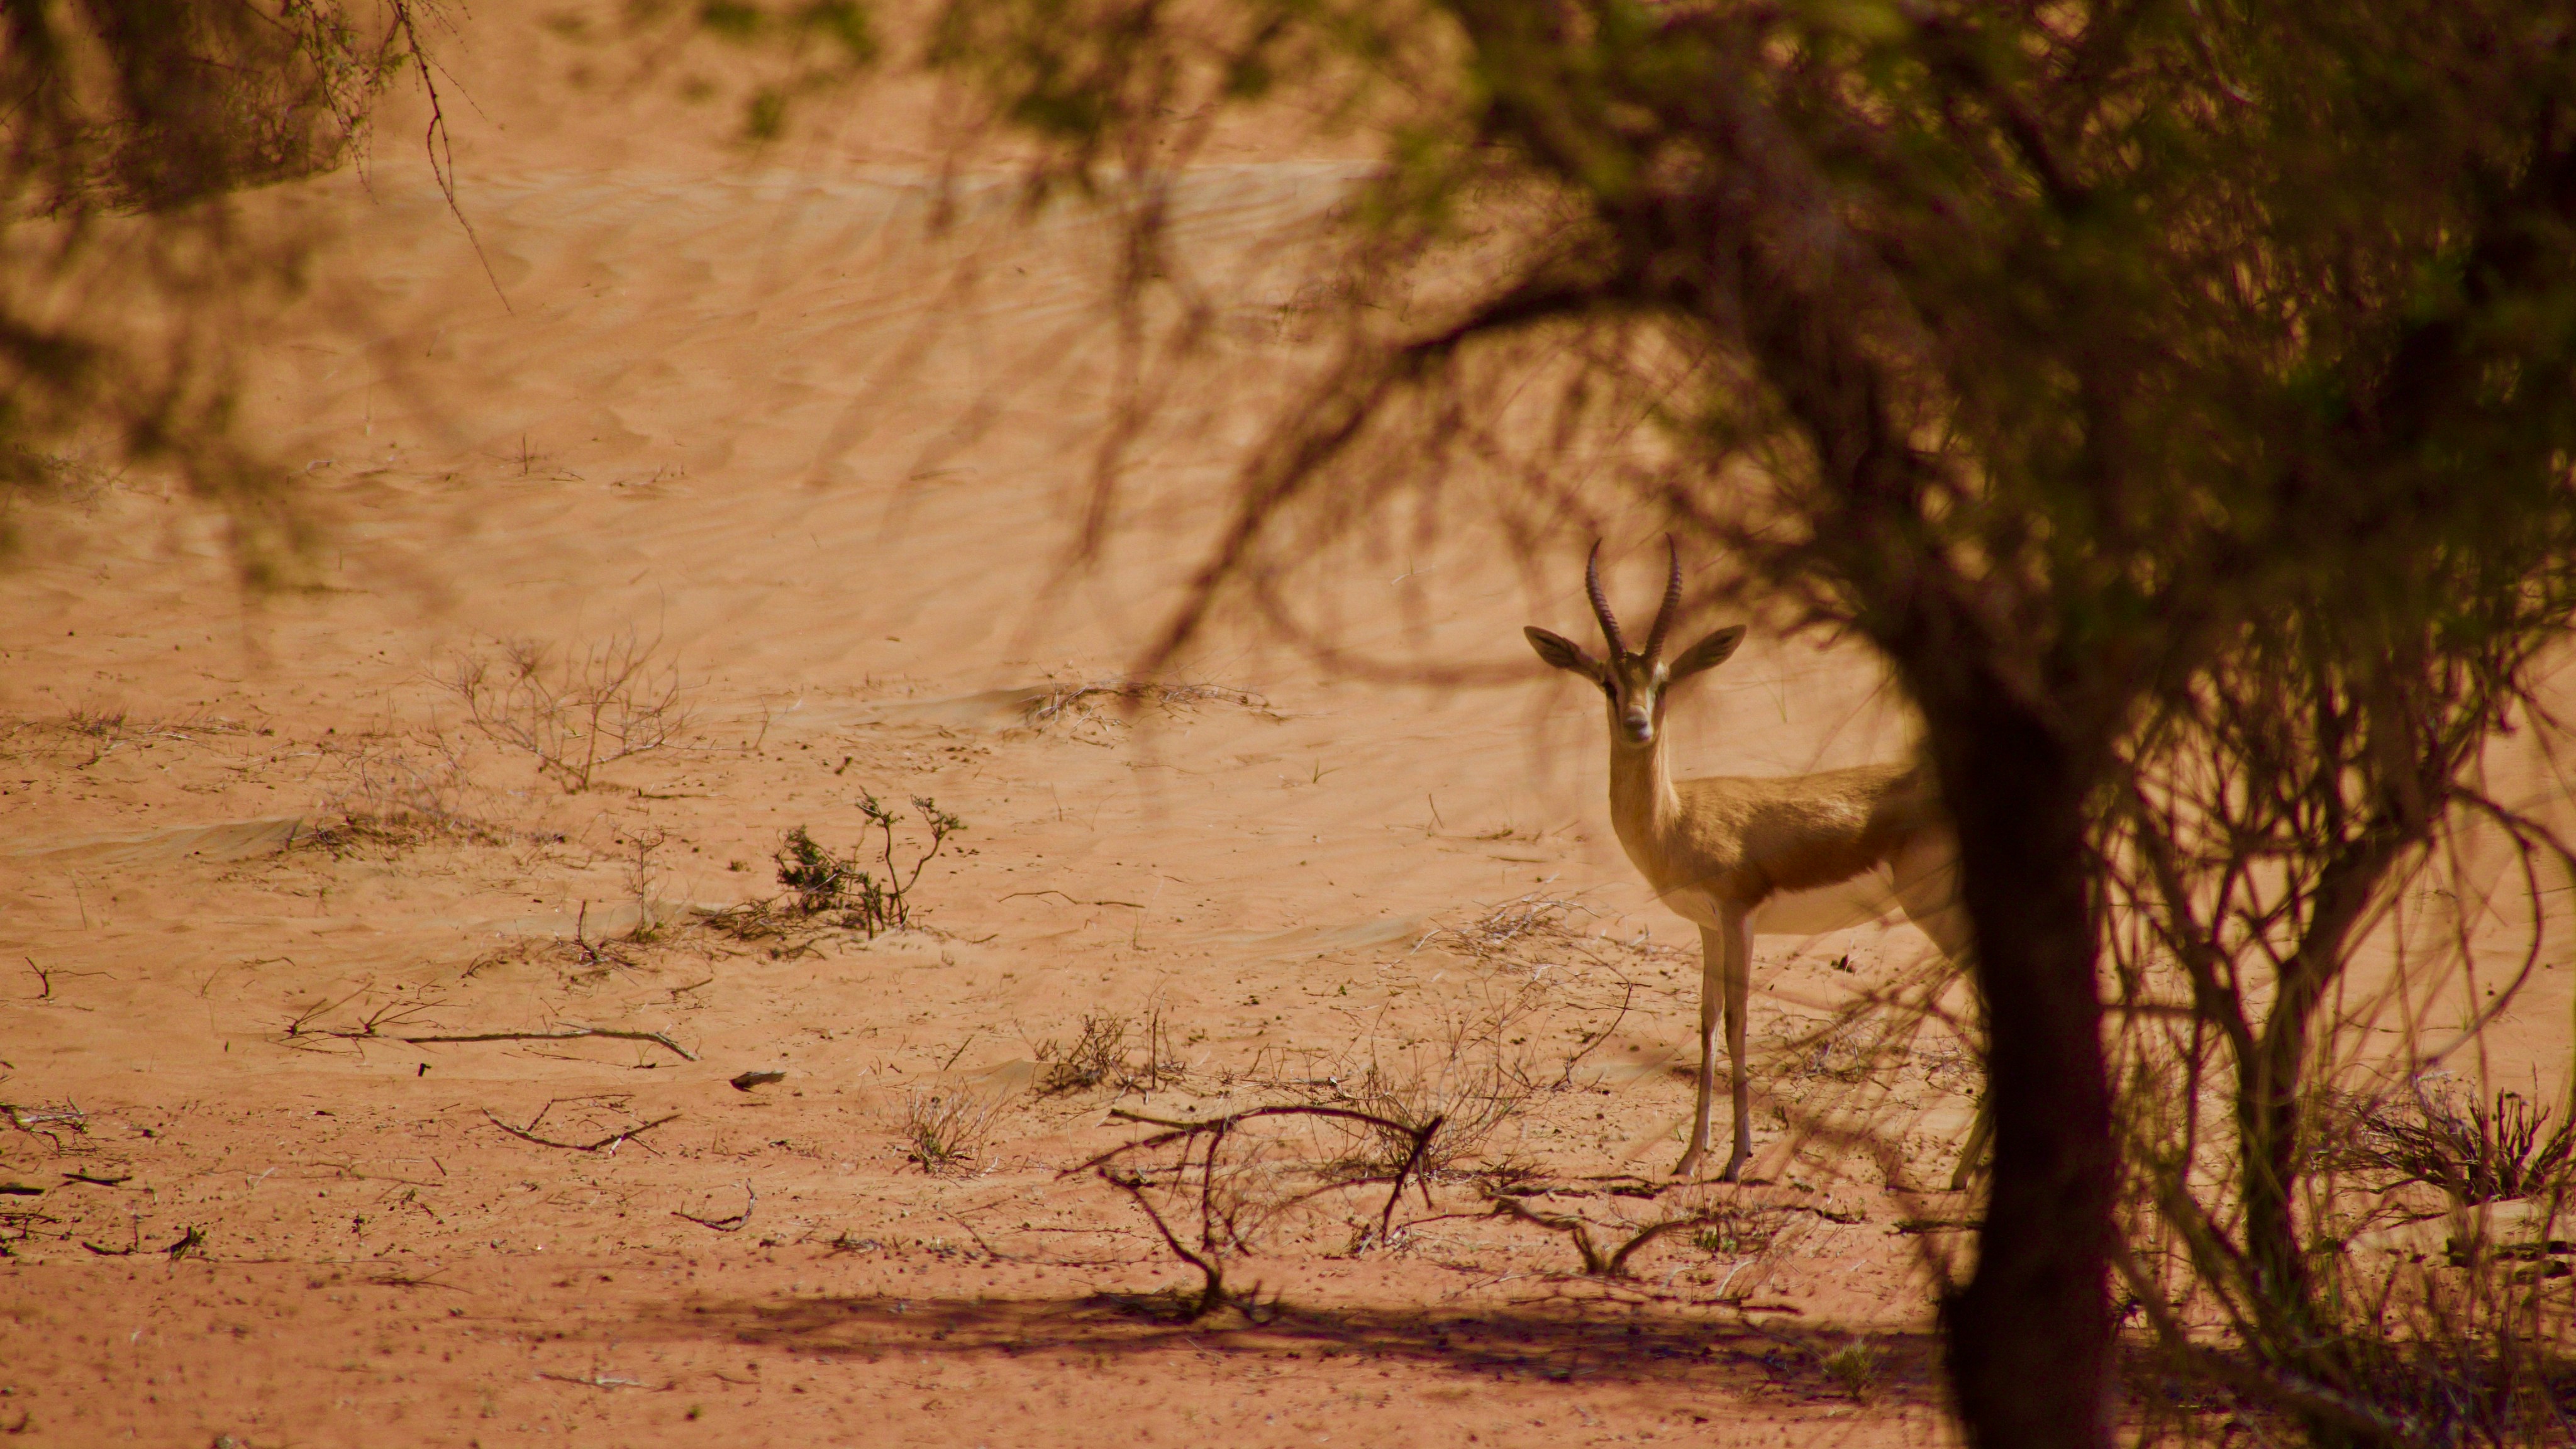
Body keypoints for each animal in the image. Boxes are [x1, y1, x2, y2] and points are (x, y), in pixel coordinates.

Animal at [1525, 540, 1972, 1182]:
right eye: (1608, 683)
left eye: (1663, 682)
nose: (1637, 725)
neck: (1677, 819)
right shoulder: (1707, 926)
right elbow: (1708, 1021)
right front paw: (1690, 1156)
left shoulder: (1738, 916)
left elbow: (1738, 1021)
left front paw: (1737, 1159)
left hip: (1938, 911)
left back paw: (1964, 1174)